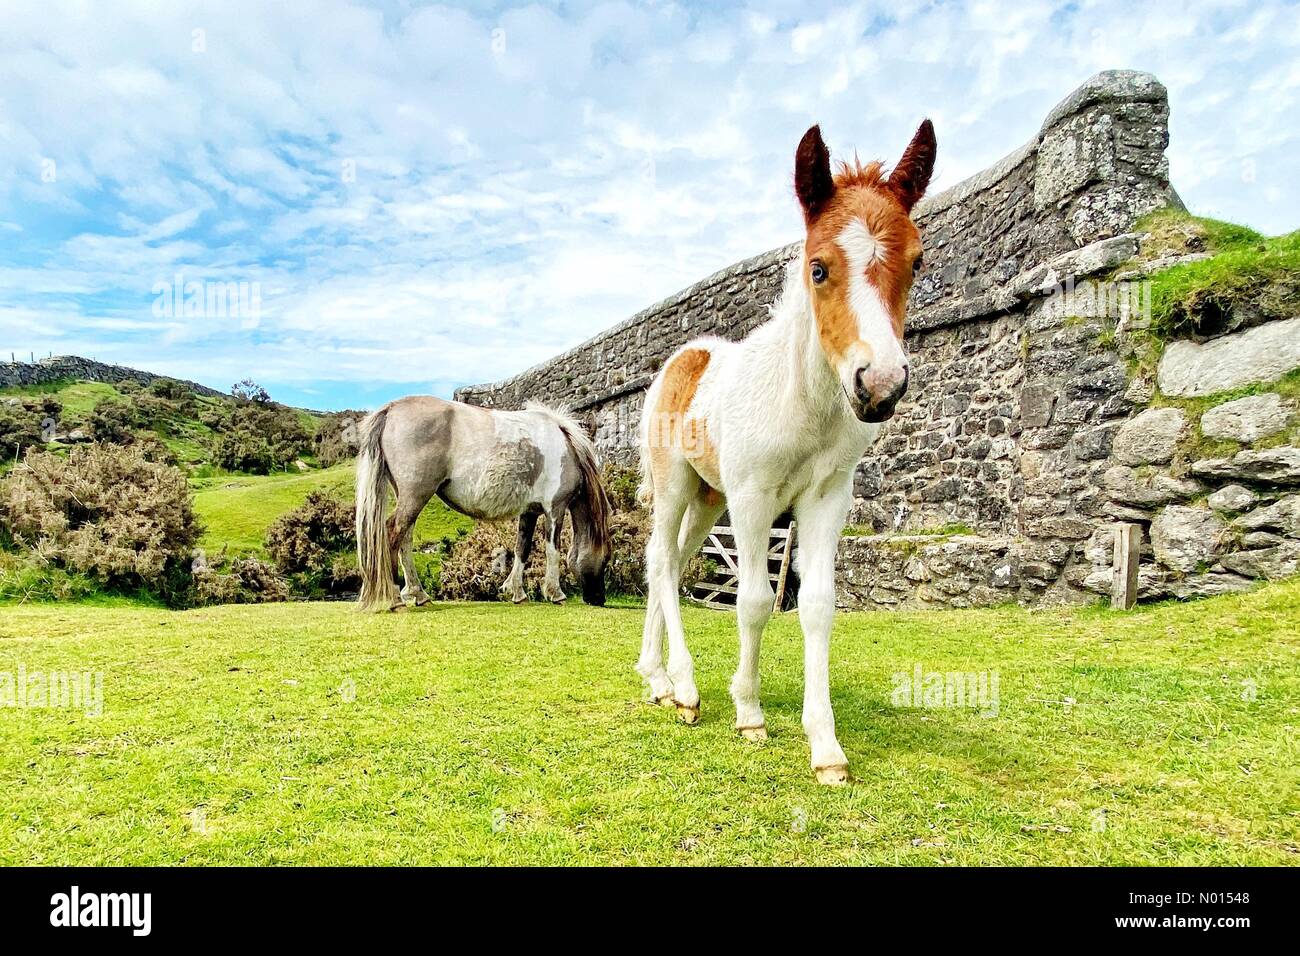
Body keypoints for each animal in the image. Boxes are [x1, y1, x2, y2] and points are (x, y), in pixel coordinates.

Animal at [354, 396, 612, 611]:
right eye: (607, 558)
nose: (599, 599)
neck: (567, 449)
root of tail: (391, 409)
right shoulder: (555, 509)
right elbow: (553, 550)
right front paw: (555, 593)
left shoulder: (530, 512)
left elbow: (522, 549)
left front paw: (517, 592)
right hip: (415, 495)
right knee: (393, 534)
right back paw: (395, 599)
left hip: (409, 497)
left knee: (404, 539)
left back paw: (419, 595)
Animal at [636, 119, 936, 784]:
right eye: (818, 268)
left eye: (917, 262)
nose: (880, 385)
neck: (802, 402)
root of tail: (685, 356)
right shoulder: (754, 497)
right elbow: (751, 601)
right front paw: (748, 712)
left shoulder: (827, 498)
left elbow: (817, 605)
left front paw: (825, 747)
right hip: (675, 485)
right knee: (663, 563)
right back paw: (683, 688)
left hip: (707, 498)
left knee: (666, 562)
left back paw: (654, 675)